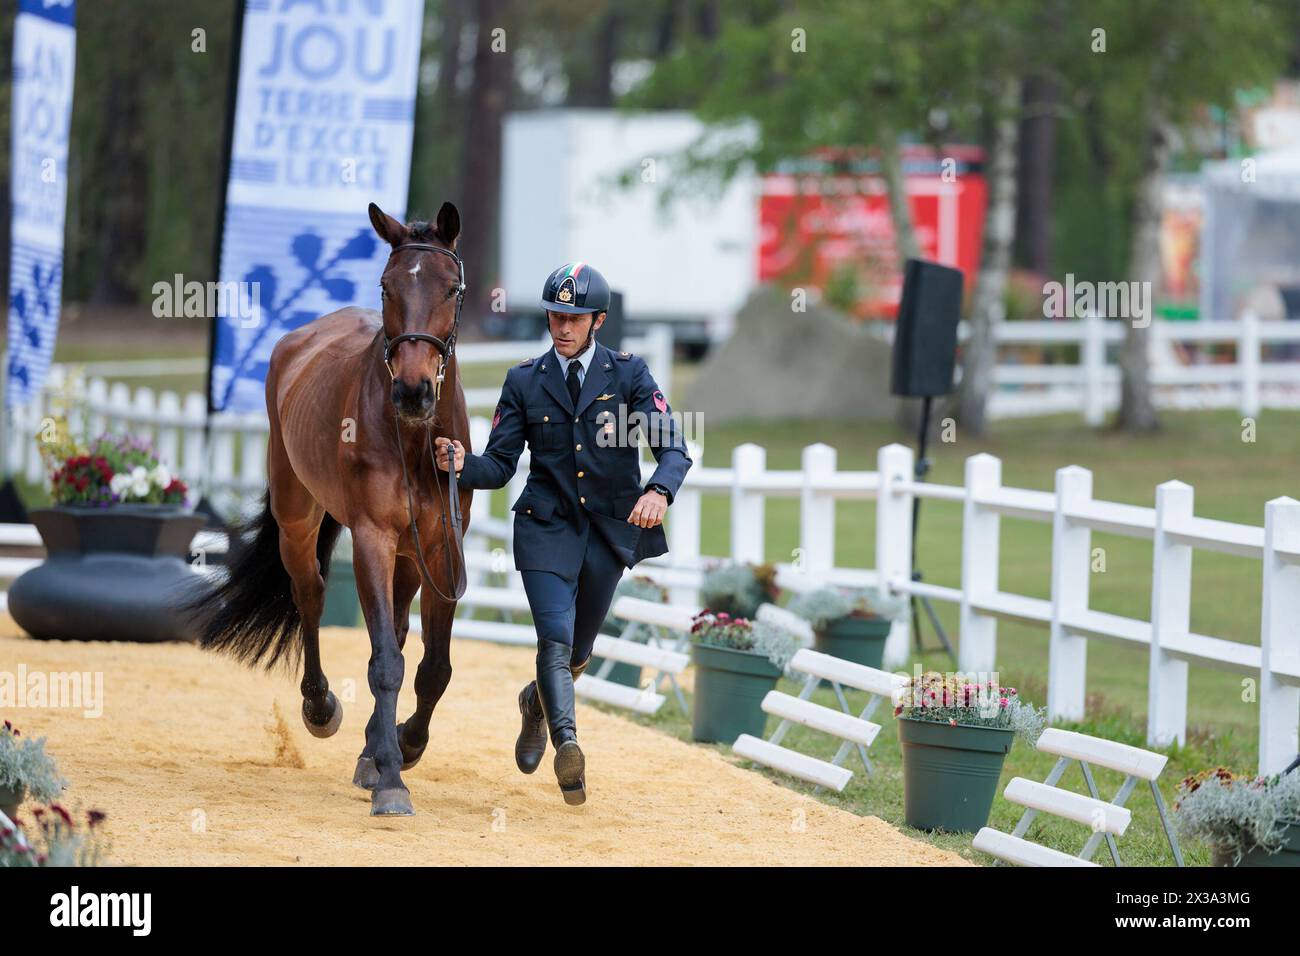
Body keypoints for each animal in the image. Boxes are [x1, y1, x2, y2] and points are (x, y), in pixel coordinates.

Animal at [190, 201, 471, 816]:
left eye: (451, 288)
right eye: (387, 286)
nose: (412, 391)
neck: (415, 438)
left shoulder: (440, 547)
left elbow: (433, 667)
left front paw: (403, 746)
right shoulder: (371, 538)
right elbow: (385, 662)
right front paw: (391, 779)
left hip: (407, 556)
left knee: (397, 623)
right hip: (299, 518)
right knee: (311, 595)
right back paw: (321, 708)